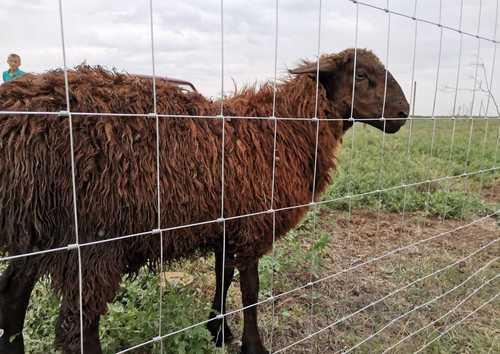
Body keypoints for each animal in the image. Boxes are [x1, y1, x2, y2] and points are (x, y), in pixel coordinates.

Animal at [0, 48, 406, 352]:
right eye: (360, 76)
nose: (403, 113)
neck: (281, 131)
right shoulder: (254, 224)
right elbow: (251, 291)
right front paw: (253, 346)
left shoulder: (228, 224)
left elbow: (222, 276)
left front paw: (218, 330)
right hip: (92, 241)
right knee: (75, 327)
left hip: (38, 231)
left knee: (13, 301)